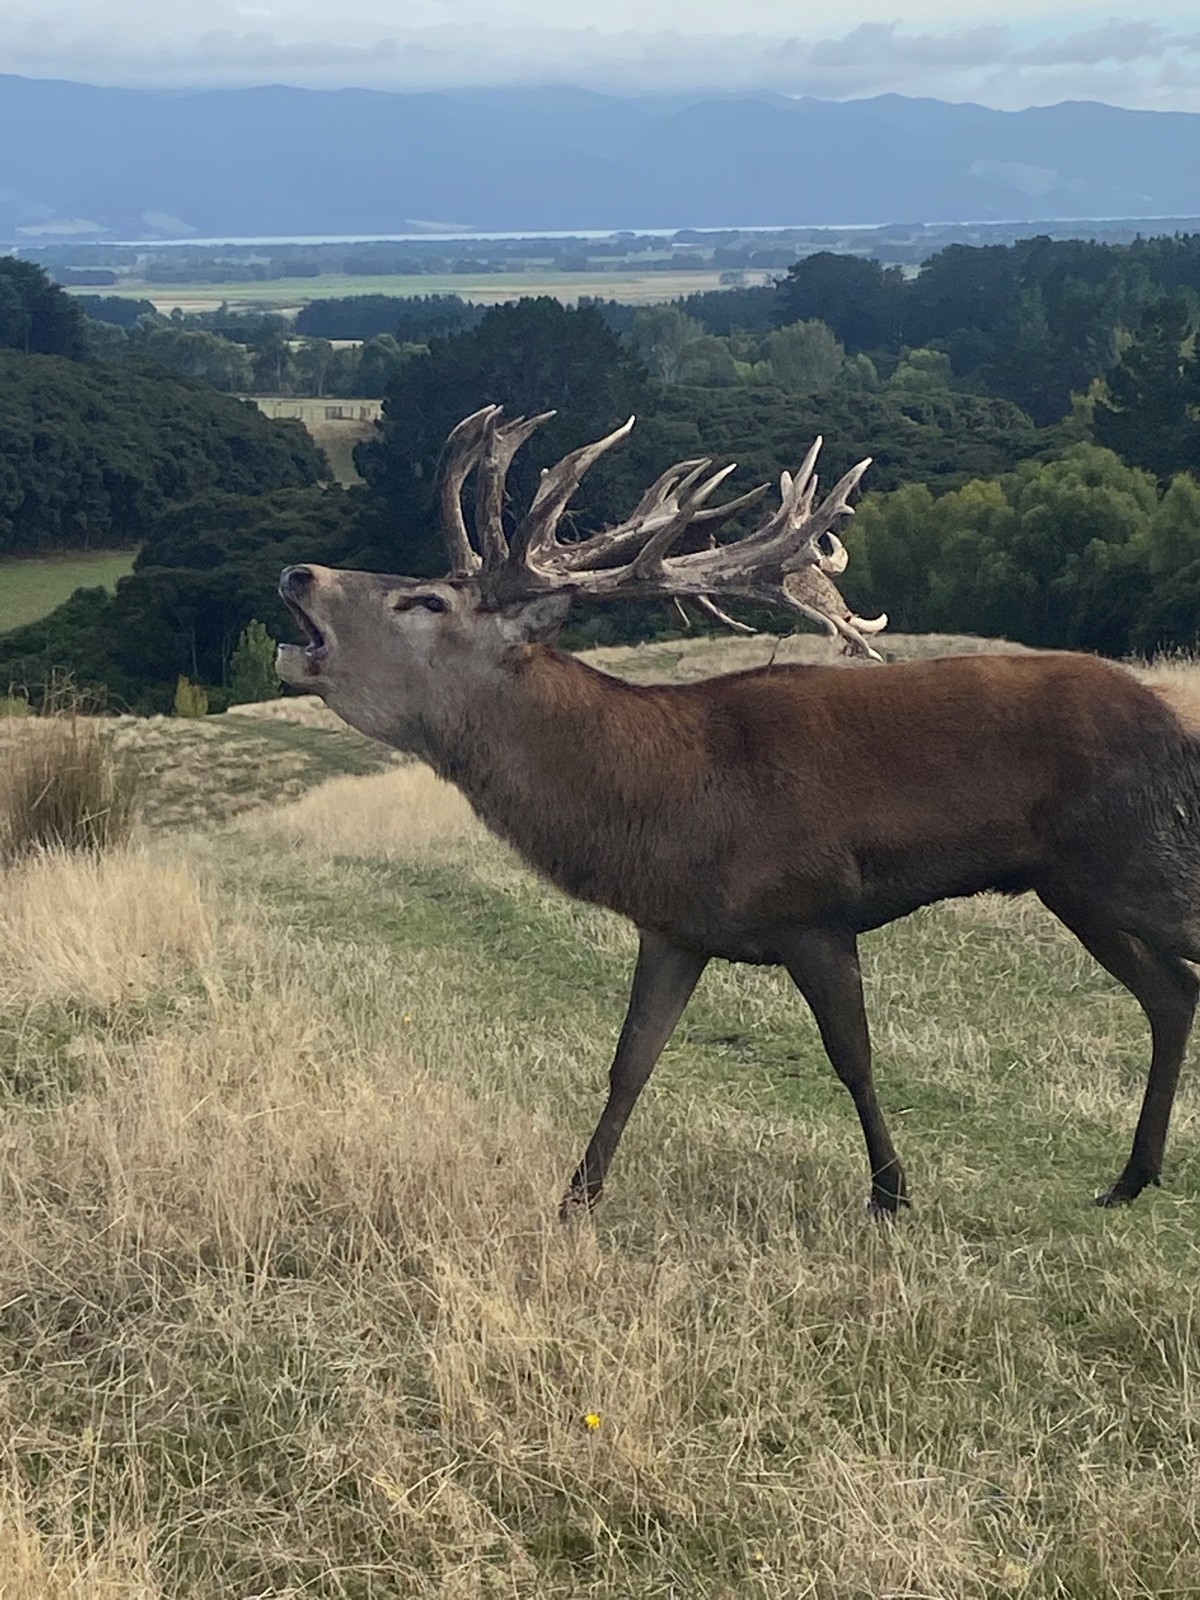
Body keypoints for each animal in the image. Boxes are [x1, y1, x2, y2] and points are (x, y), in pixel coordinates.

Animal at [276, 404, 1200, 1220]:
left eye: (427, 601)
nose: (299, 573)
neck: (672, 799)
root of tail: (1174, 727)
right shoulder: (675, 928)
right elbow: (630, 1062)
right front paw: (576, 1201)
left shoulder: (815, 908)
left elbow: (853, 1058)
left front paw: (891, 1194)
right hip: (1079, 887)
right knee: (1172, 991)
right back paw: (1130, 1178)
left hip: (1138, 854)